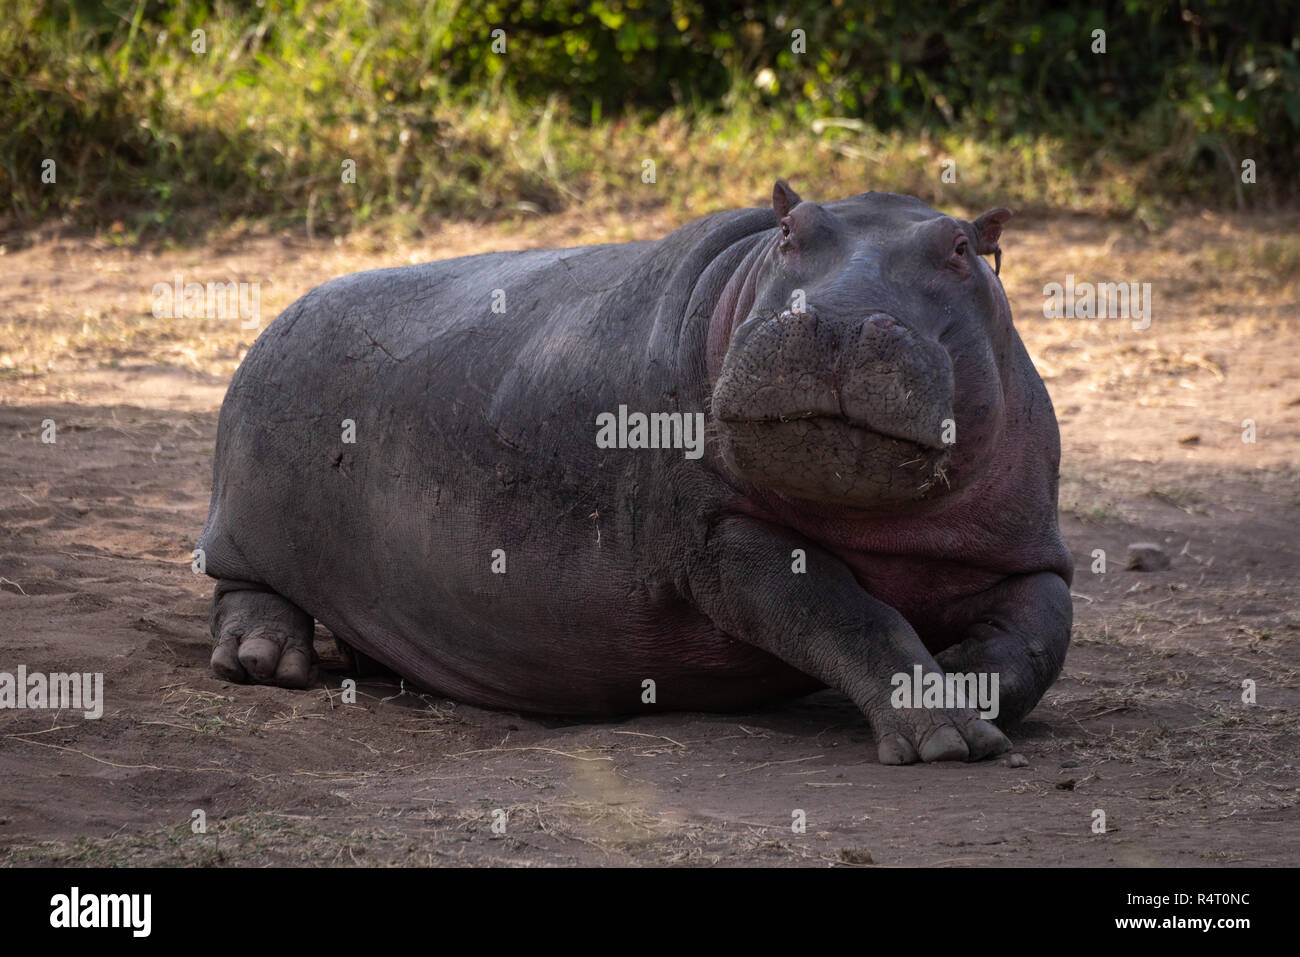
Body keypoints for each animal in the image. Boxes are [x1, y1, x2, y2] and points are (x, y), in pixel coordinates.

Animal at [197, 181, 1073, 764]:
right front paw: (950, 735)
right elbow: (846, 611)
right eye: (791, 230)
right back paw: (265, 662)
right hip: (243, 513)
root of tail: (284, 307)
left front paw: (962, 675)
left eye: (963, 249)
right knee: (242, 585)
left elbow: (1041, 635)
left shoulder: (1032, 553)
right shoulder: (719, 537)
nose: (839, 321)